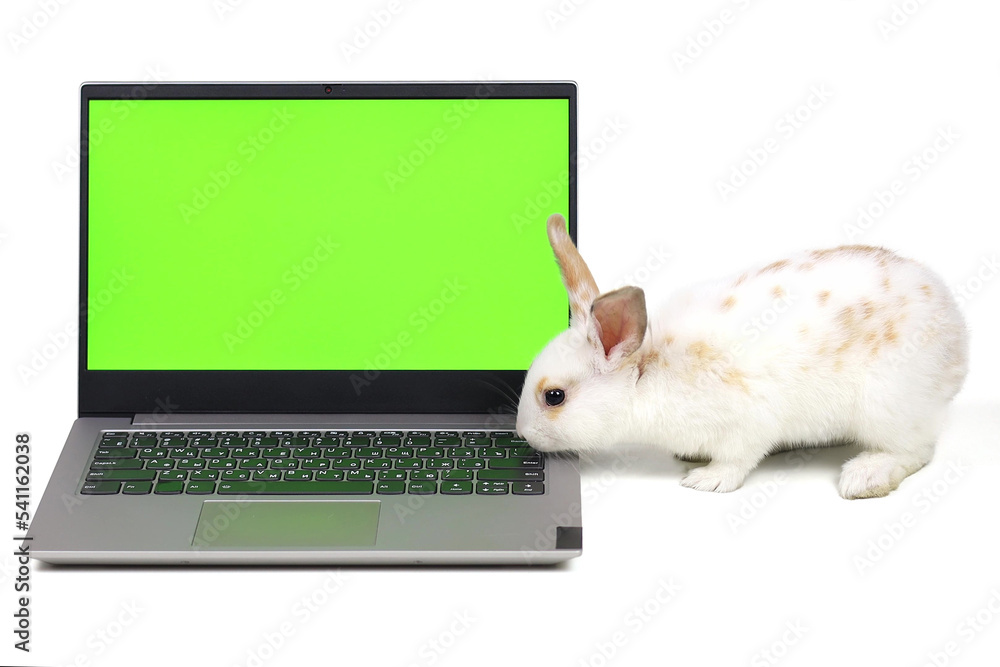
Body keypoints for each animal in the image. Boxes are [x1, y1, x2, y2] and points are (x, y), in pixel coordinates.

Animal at [515, 214, 969, 499]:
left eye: (553, 397)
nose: (523, 434)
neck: (651, 370)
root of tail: (958, 338)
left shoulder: (747, 421)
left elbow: (737, 460)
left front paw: (706, 480)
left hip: (886, 407)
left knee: (916, 451)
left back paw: (865, 476)